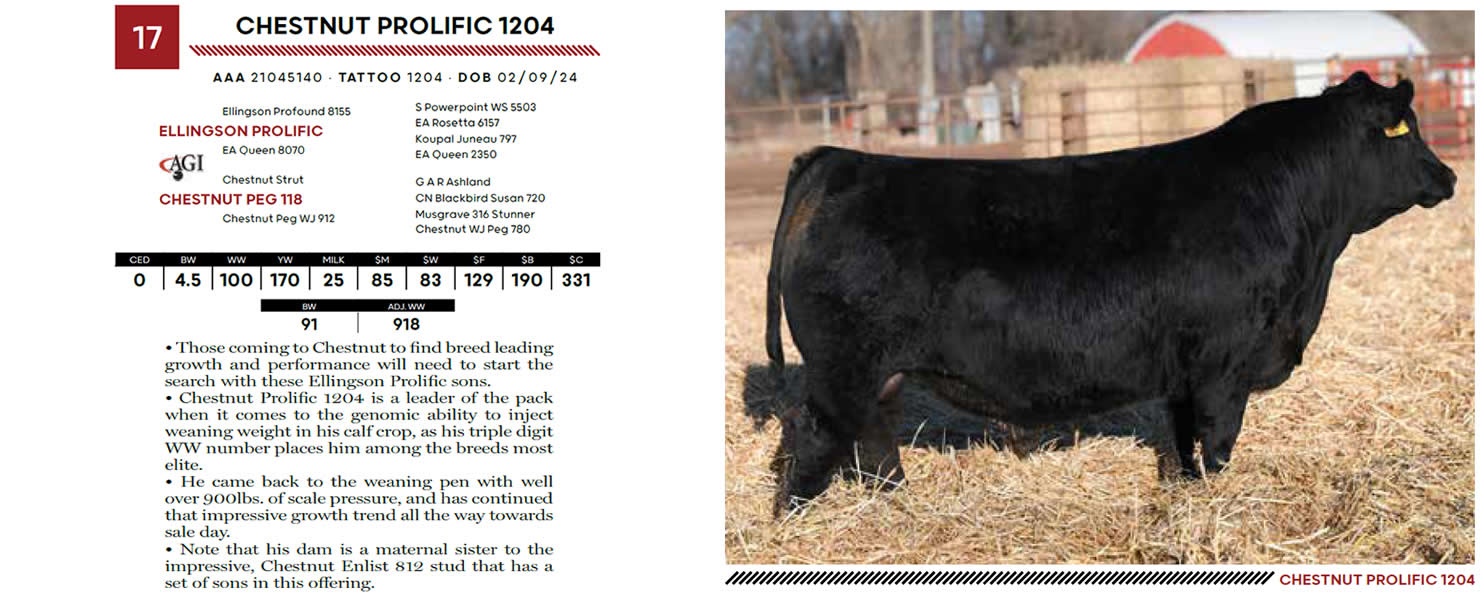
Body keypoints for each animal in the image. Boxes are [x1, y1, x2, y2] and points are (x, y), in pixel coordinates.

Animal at [763, 71, 1456, 516]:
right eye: (1404, 131)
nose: (1448, 176)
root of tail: (836, 158)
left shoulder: (1184, 372)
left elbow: (1184, 444)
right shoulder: (1223, 366)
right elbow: (1218, 443)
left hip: (878, 376)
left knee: (874, 439)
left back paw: (898, 504)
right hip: (842, 370)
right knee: (814, 440)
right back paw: (797, 525)